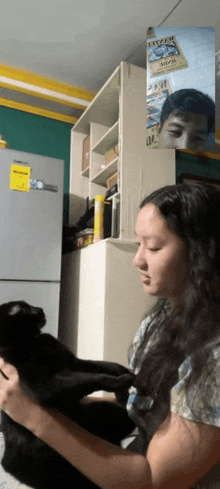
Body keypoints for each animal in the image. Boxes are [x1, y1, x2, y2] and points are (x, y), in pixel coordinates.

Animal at [0, 300, 136, 486]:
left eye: (28, 305)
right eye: (22, 308)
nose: (40, 309)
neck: (34, 342)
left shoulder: (74, 363)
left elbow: (104, 365)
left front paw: (125, 373)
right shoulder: (46, 385)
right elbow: (91, 378)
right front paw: (121, 381)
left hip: (116, 415)